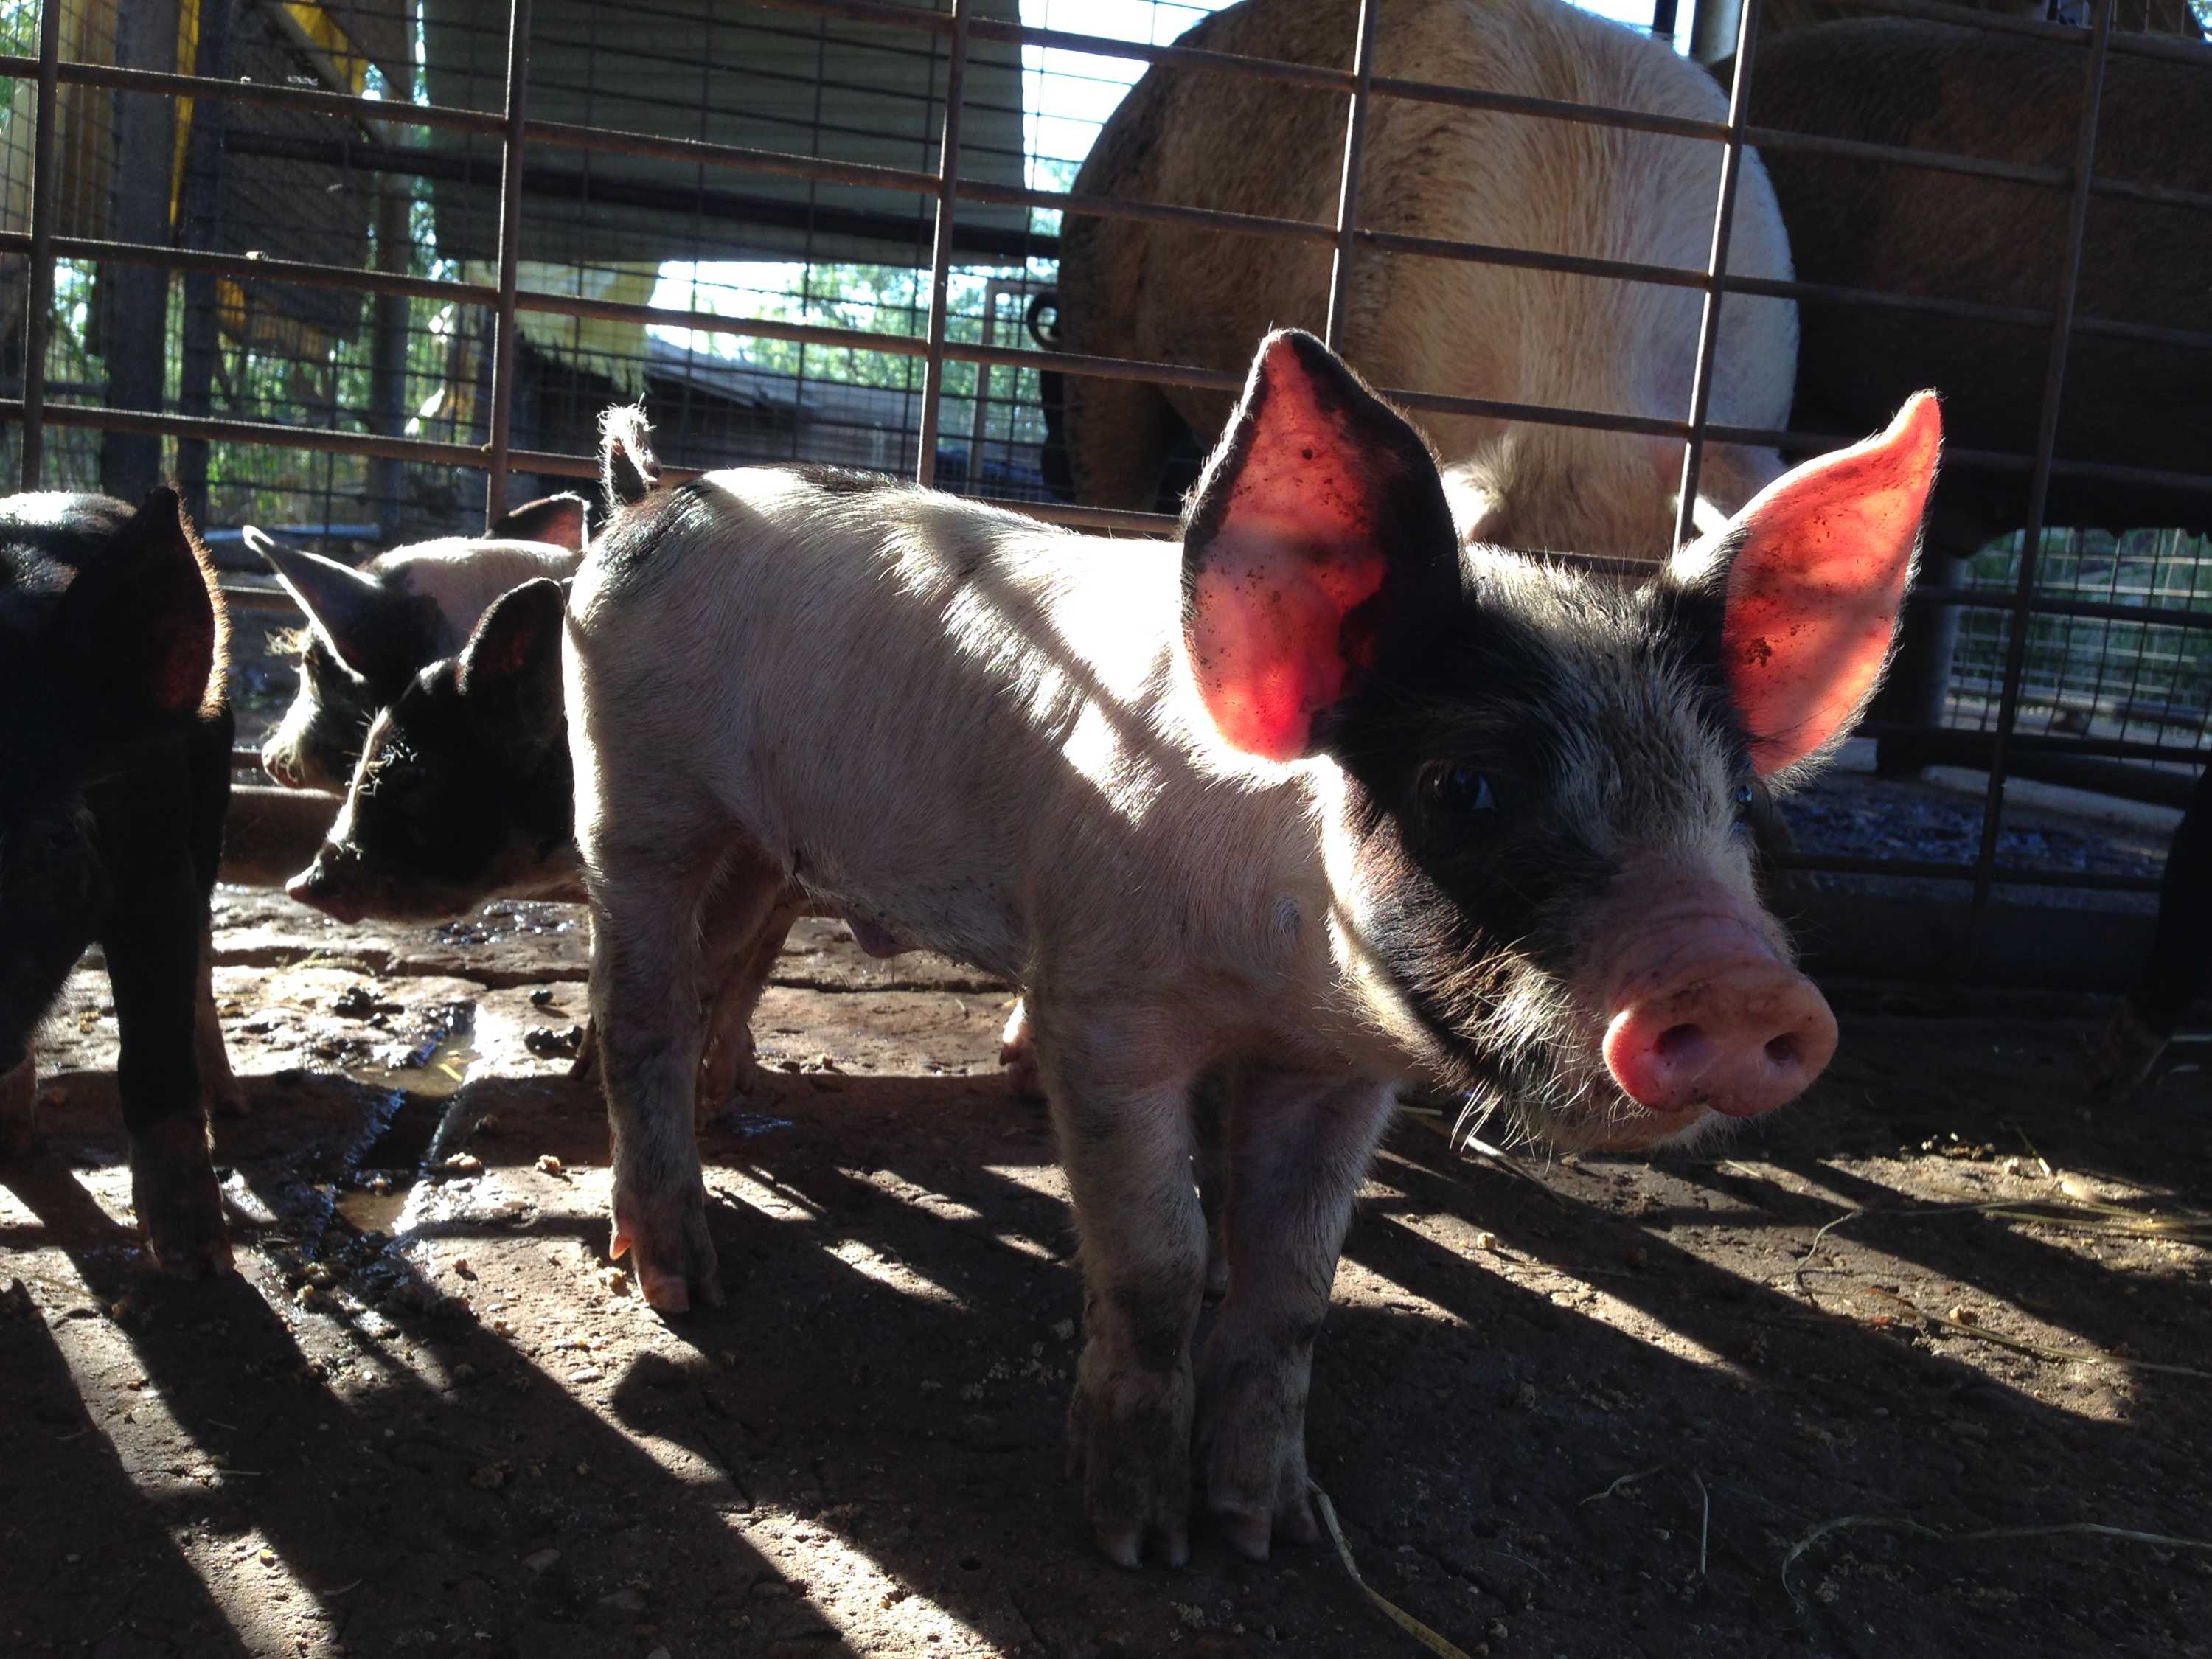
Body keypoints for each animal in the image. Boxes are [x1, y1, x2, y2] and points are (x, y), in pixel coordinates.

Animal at [0, 488, 241, 1275]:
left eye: (49, 844)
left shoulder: (156, 862)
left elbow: (155, 1044)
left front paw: (199, 1263)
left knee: (202, 960)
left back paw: (231, 1106)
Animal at [566, 329, 1939, 1564]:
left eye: (1740, 807)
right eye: (1465, 785)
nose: (1745, 982)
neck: (1279, 980)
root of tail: (657, 494)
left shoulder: (1343, 1069)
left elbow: (1292, 1286)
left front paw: (1273, 1531)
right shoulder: (1100, 1006)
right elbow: (1160, 1259)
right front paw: (1138, 1541)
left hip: (764, 847)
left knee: (727, 972)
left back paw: (731, 1111)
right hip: (635, 801)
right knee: (637, 1015)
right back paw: (682, 1280)